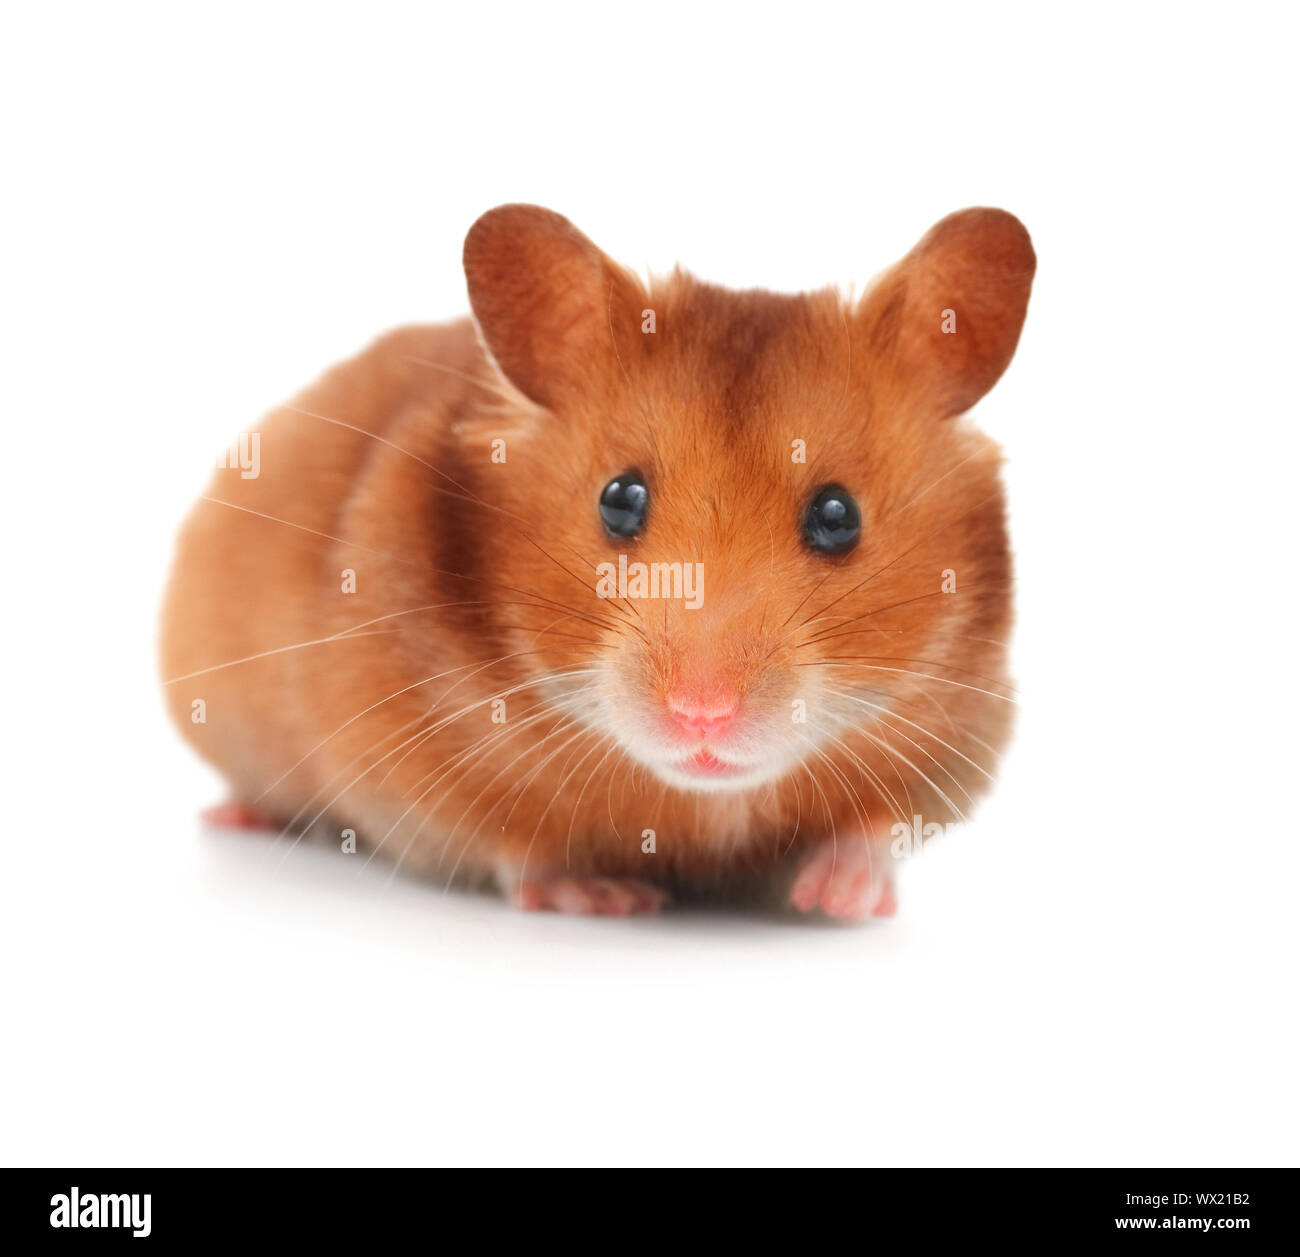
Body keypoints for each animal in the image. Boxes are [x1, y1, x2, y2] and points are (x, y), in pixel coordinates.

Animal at [160, 203, 1034, 919]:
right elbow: (518, 844)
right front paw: (609, 895)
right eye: (619, 499)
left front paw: (841, 899)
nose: (703, 714)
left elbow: (876, 825)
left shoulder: (963, 736)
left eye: (837, 515)